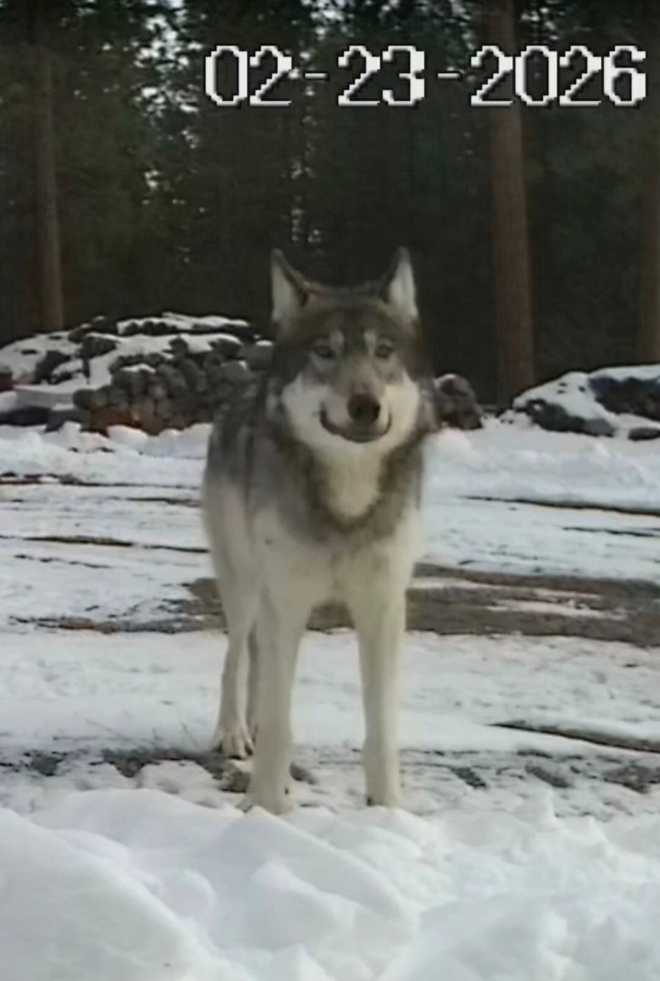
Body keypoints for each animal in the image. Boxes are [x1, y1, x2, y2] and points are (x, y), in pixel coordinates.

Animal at [202, 248, 436, 813]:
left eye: (383, 352)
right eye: (325, 352)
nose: (365, 405)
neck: (347, 499)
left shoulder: (382, 606)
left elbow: (380, 727)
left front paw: (388, 812)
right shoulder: (284, 599)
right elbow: (279, 720)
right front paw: (267, 809)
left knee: (260, 667)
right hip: (244, 586)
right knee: (237, 656)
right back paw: (236, 733)